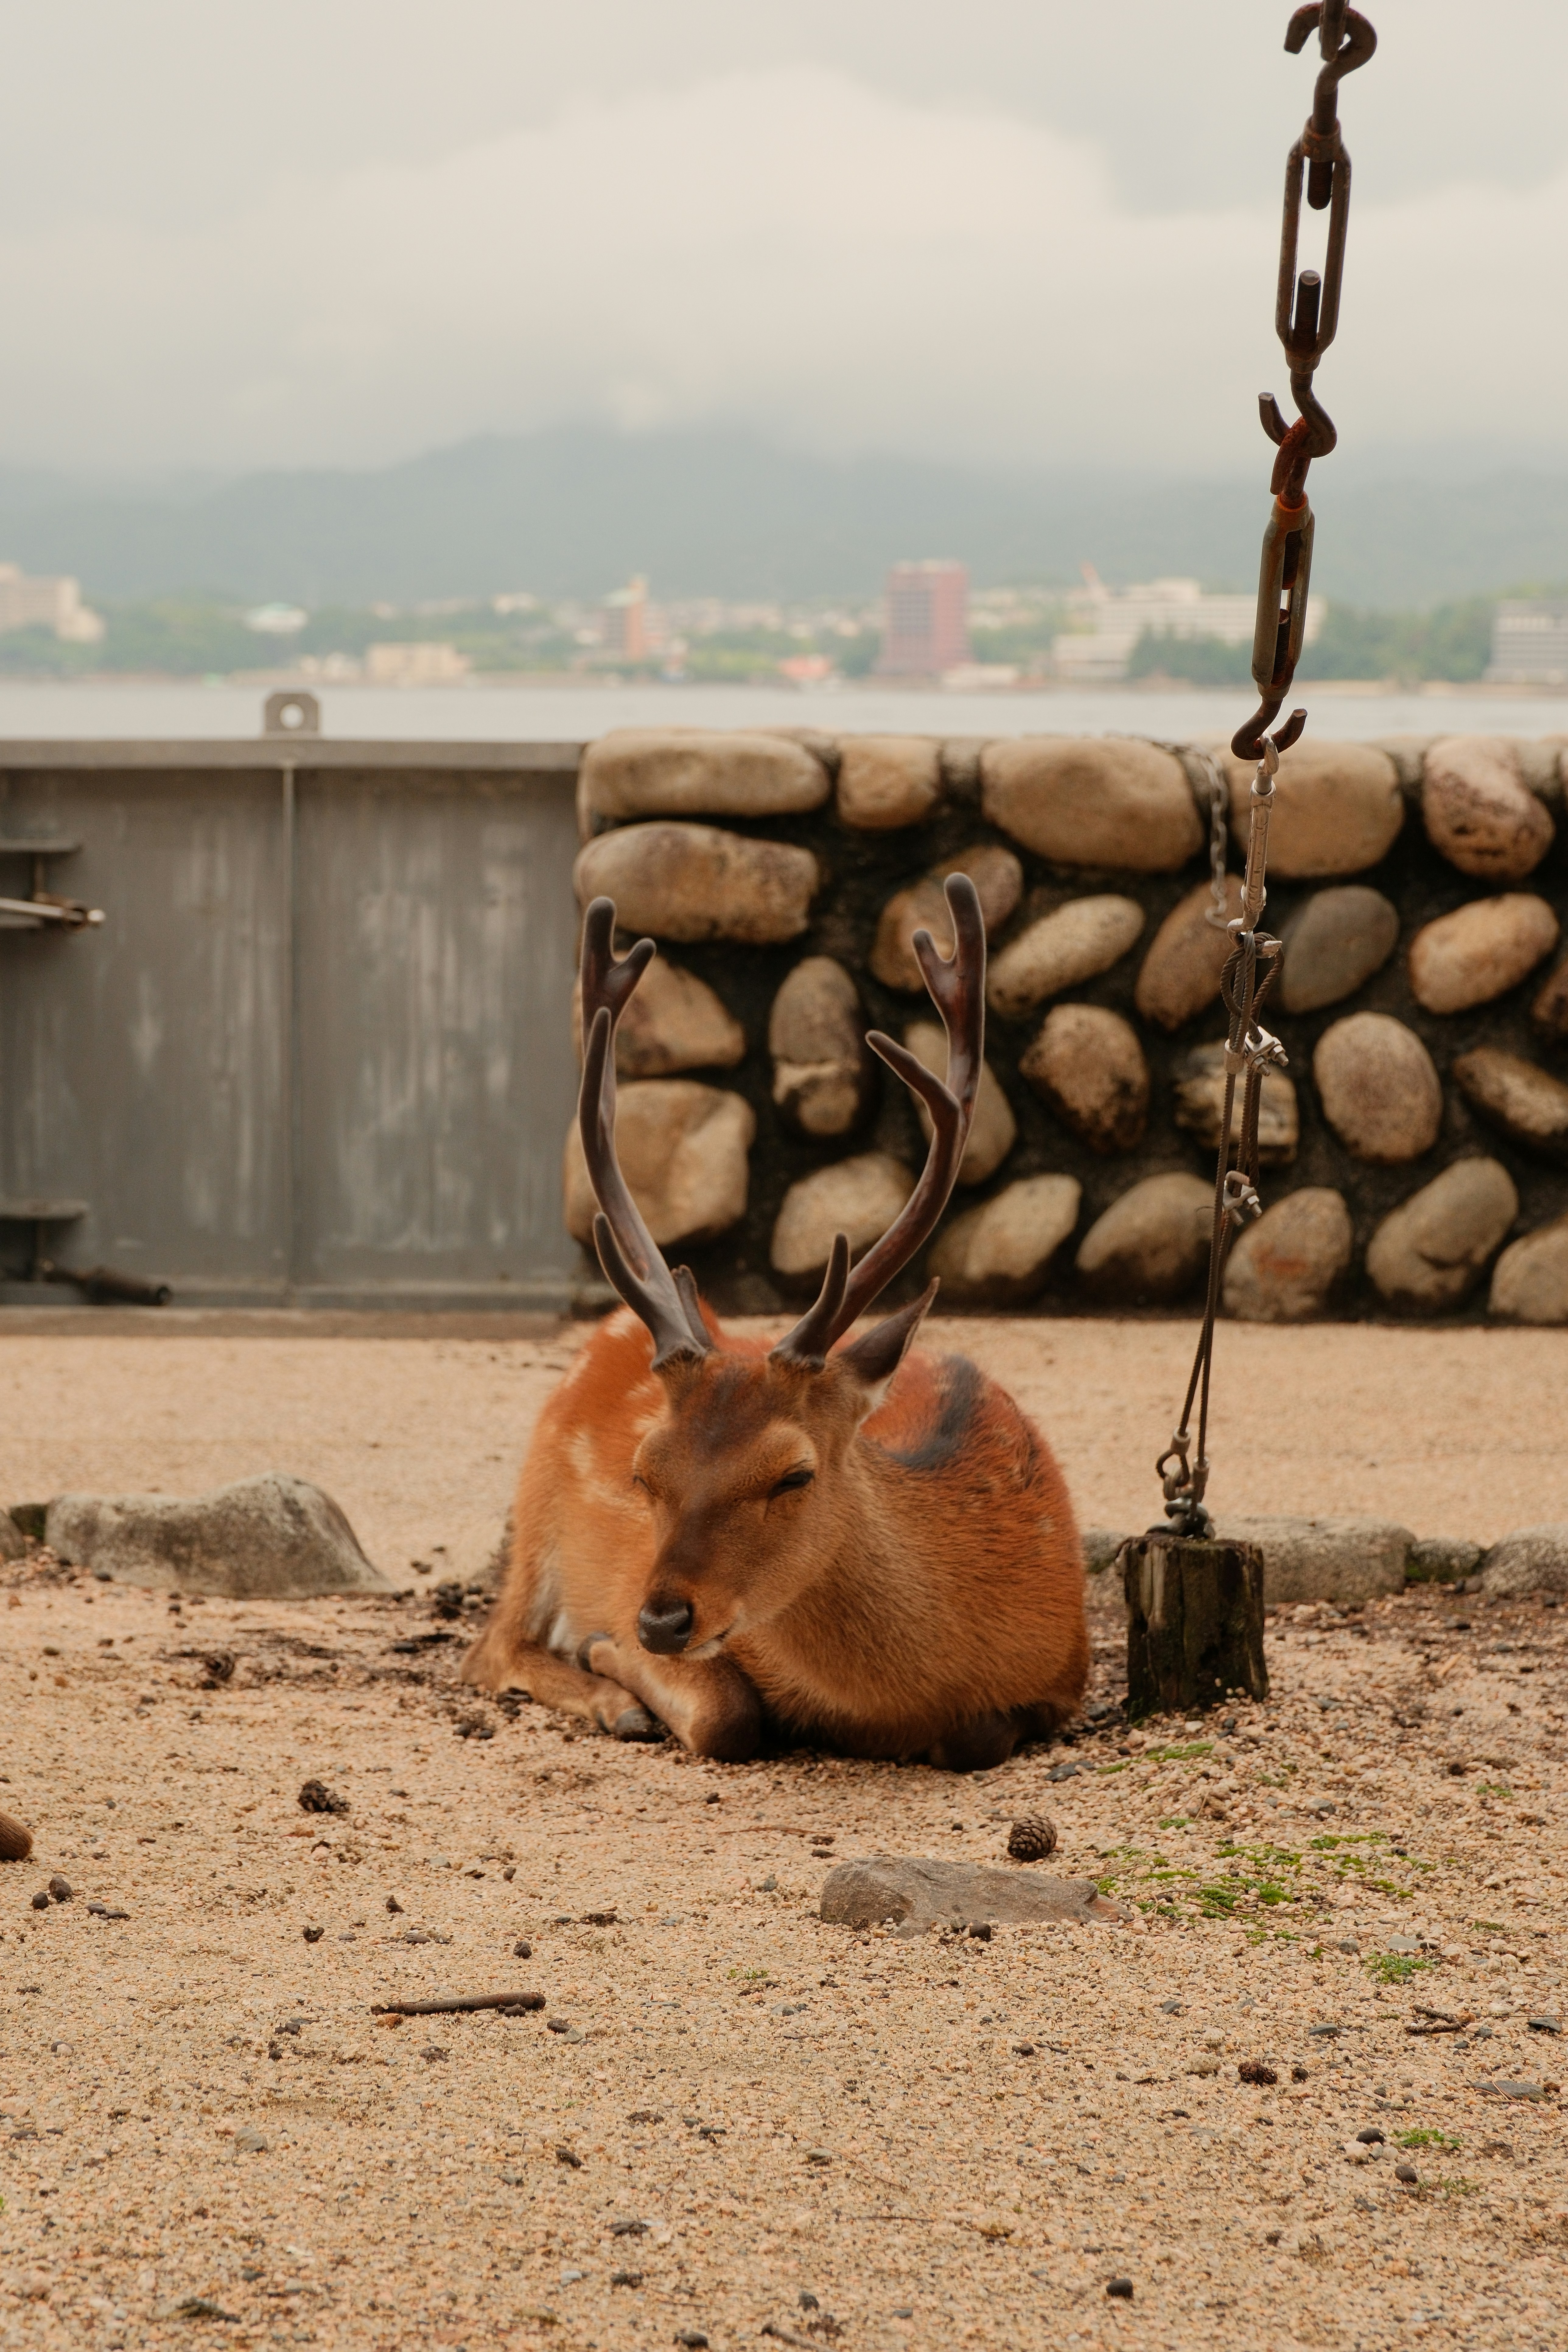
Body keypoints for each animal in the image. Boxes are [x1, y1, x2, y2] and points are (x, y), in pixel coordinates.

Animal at [462, 874, 1088, 1770]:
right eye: (644, 1472)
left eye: (794, 1474)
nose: (659, 1620)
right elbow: (731, 1717)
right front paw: (606, 1654)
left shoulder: (1069, 1669)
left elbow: (983, 1733)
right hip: (534, 1513)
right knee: (493, 1647)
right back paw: (612, 1700)